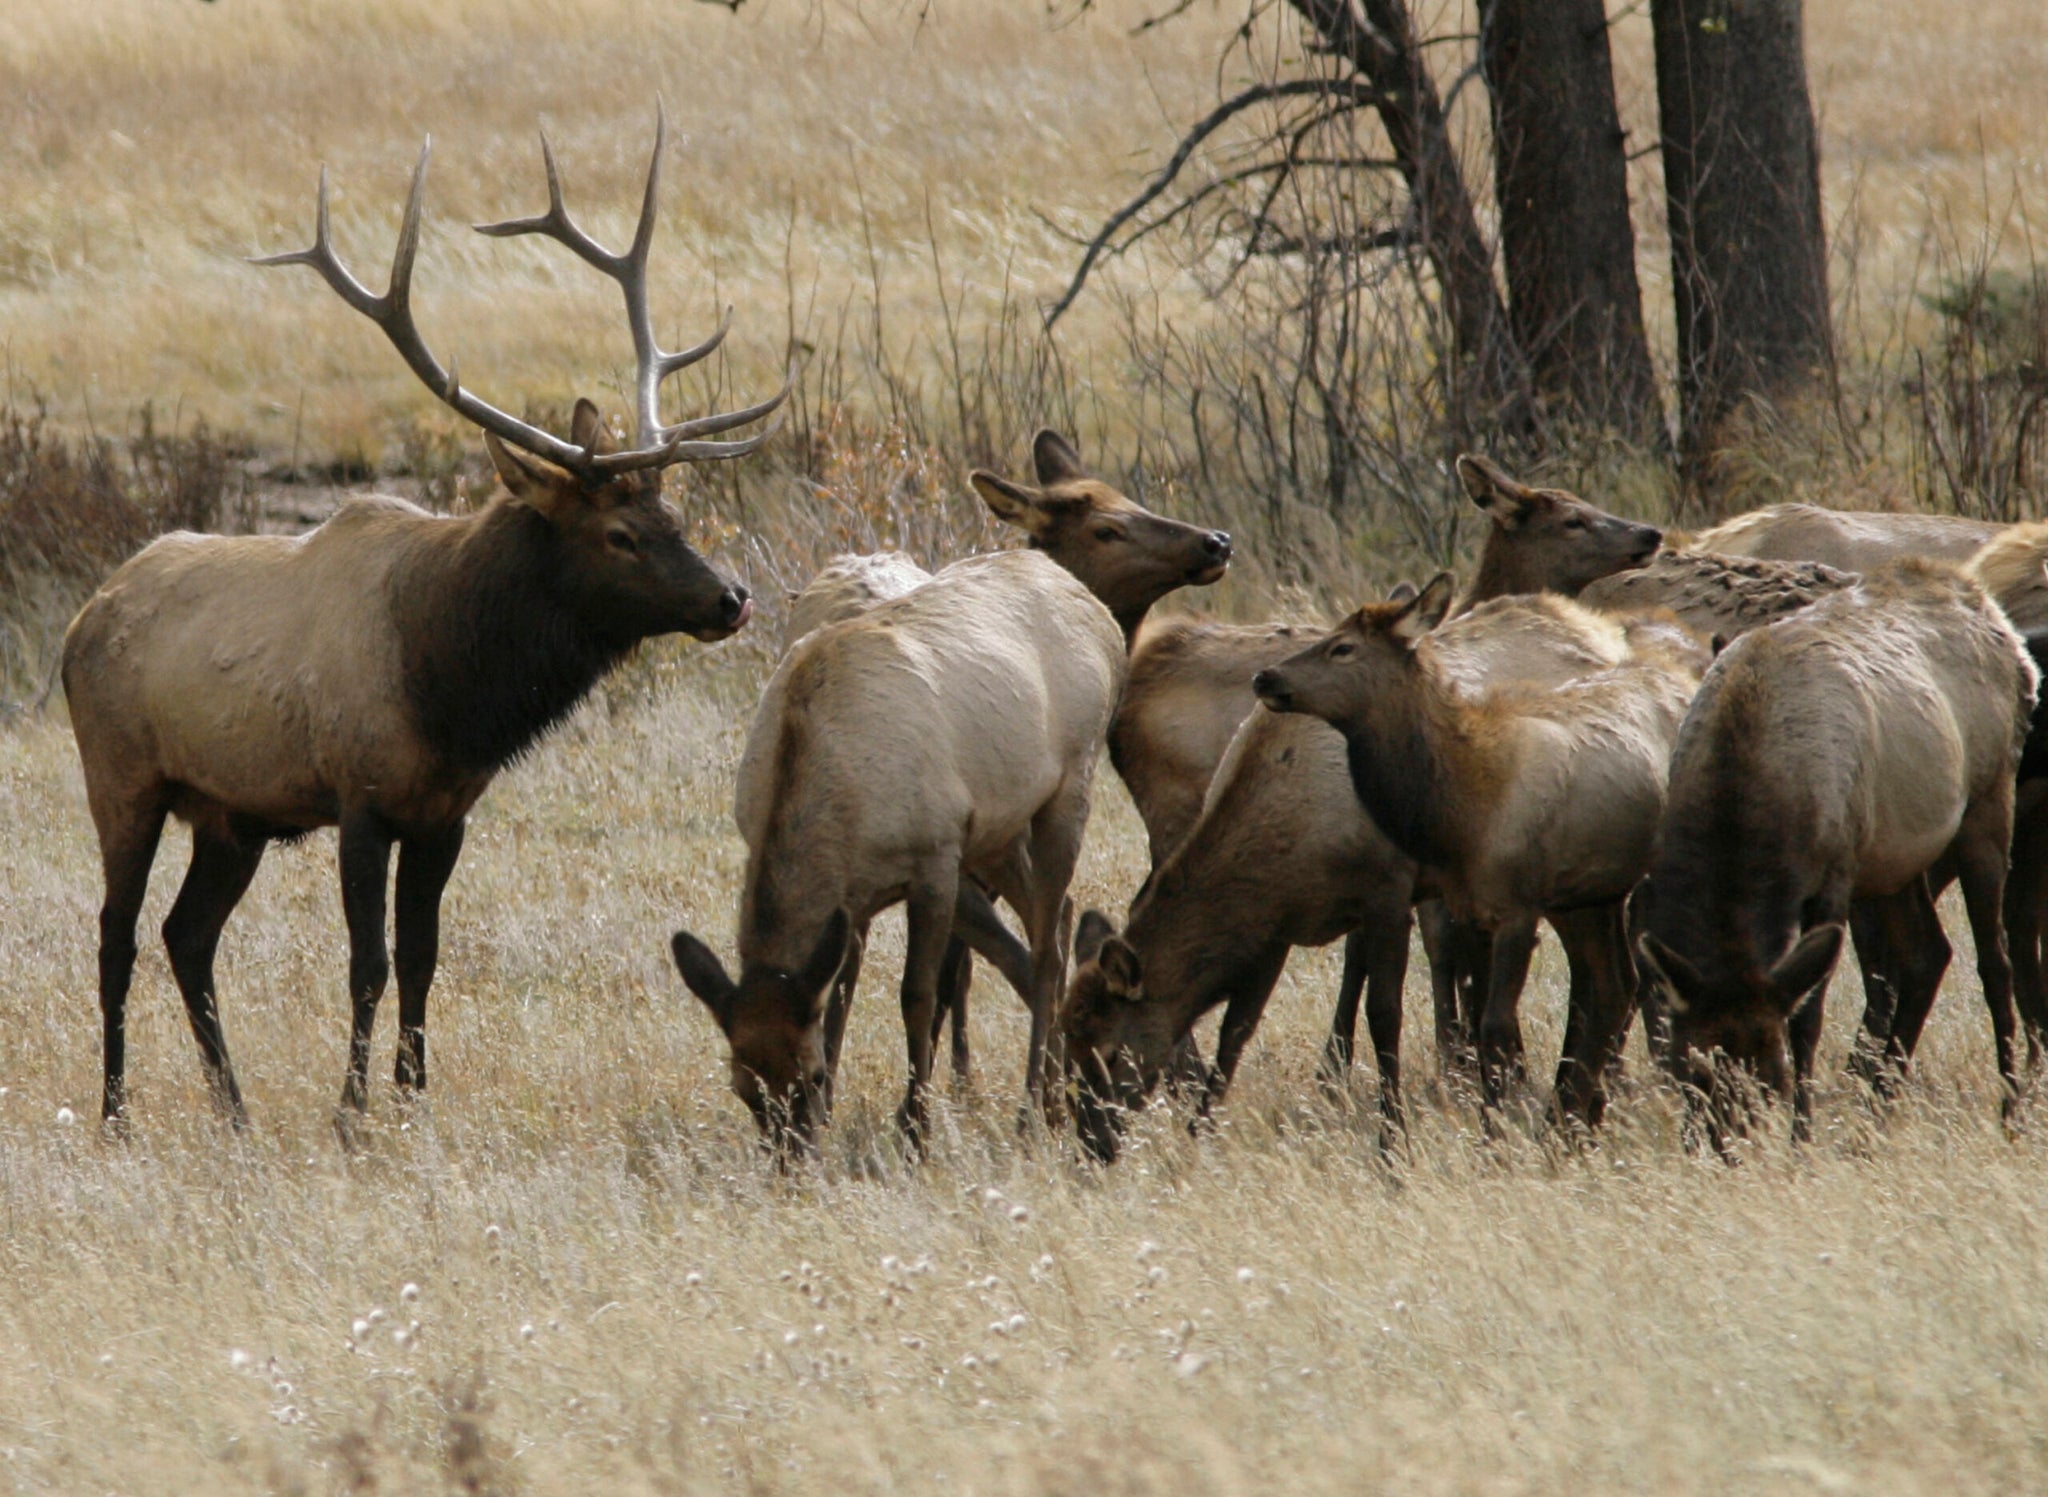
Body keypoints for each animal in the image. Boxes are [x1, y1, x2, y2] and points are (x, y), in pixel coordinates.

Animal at [62, 115, 786, 1131]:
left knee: (186, 935)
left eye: (675, 513)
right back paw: (117, 1112)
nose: (730, 597)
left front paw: (414, 1098)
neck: (450, 687)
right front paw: (352, 1112)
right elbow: (366, 962)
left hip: (233, 814)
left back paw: (234, 1107)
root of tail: (82, 620)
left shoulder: (446, 812)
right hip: (123, 775)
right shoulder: (361, 795)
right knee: (116, 934)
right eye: (620, 533)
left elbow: (422, 958)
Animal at [1248, 578, 1704, 1127]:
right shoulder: (1472, 907)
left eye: (1343, 648)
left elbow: (1495, 1026)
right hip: (1592, 894)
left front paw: (1495, 1128)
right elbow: (1478, 1014)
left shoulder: (1519, 906)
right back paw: (1573, 1117)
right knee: (1616, 984)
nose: (1265, 676)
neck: (1465, 811)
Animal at [1636, 561, 2037, 1151]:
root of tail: (1994, 615)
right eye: (1695, 1068)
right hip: (1894, 857)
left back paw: (2010, 1110)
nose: (1730, 1148)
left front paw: (1802, 1139)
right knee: (1929, 953)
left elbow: (1808, 1018)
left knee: (1995, 960)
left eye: (1773, 1077)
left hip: (1988, 800)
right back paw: (1877, 1109)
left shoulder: (1835, 872)